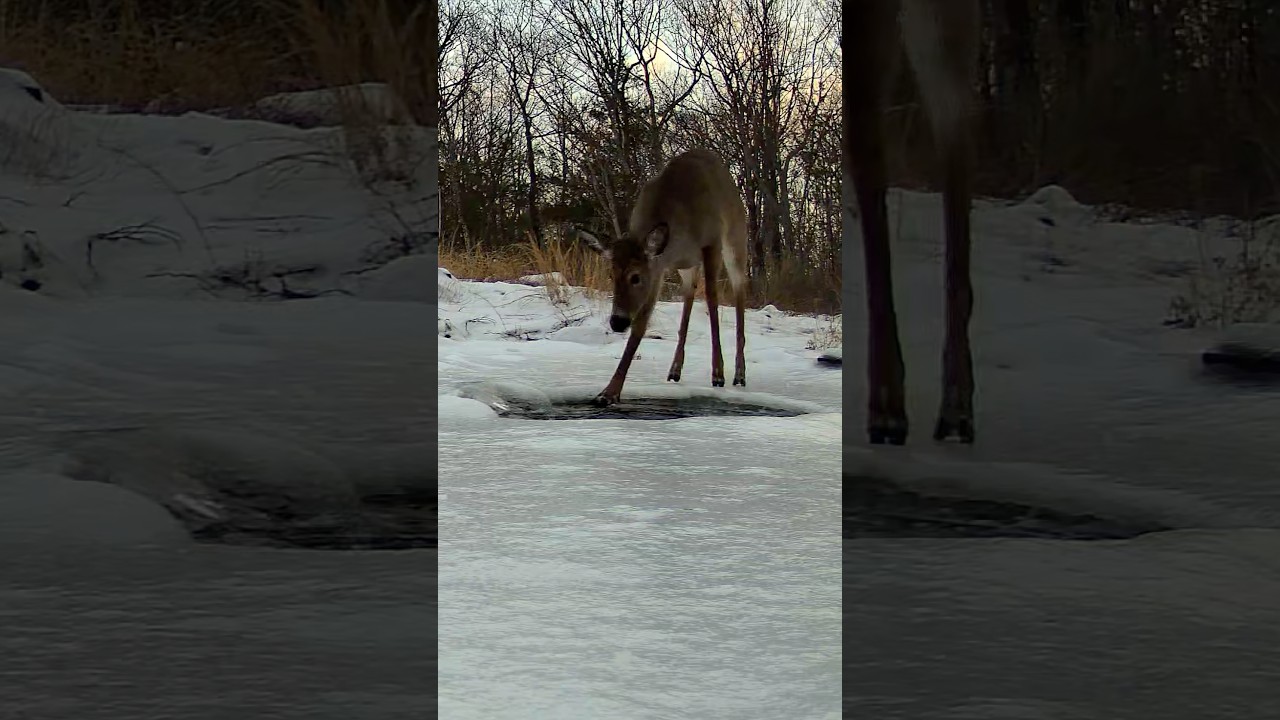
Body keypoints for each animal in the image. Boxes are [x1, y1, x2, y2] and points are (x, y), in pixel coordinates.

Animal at [578, 148, 749, 408]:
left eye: (636, 277)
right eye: (611, 275)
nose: (617, 322)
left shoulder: (711, 242)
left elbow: (712, 300)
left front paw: (718, 373)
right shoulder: (658, 267)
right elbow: (641, 324)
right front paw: (608, 392)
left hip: (735, 239)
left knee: (739, 290)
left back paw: (739, 373)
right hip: (687, 267)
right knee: (689, 295)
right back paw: (675, 370)